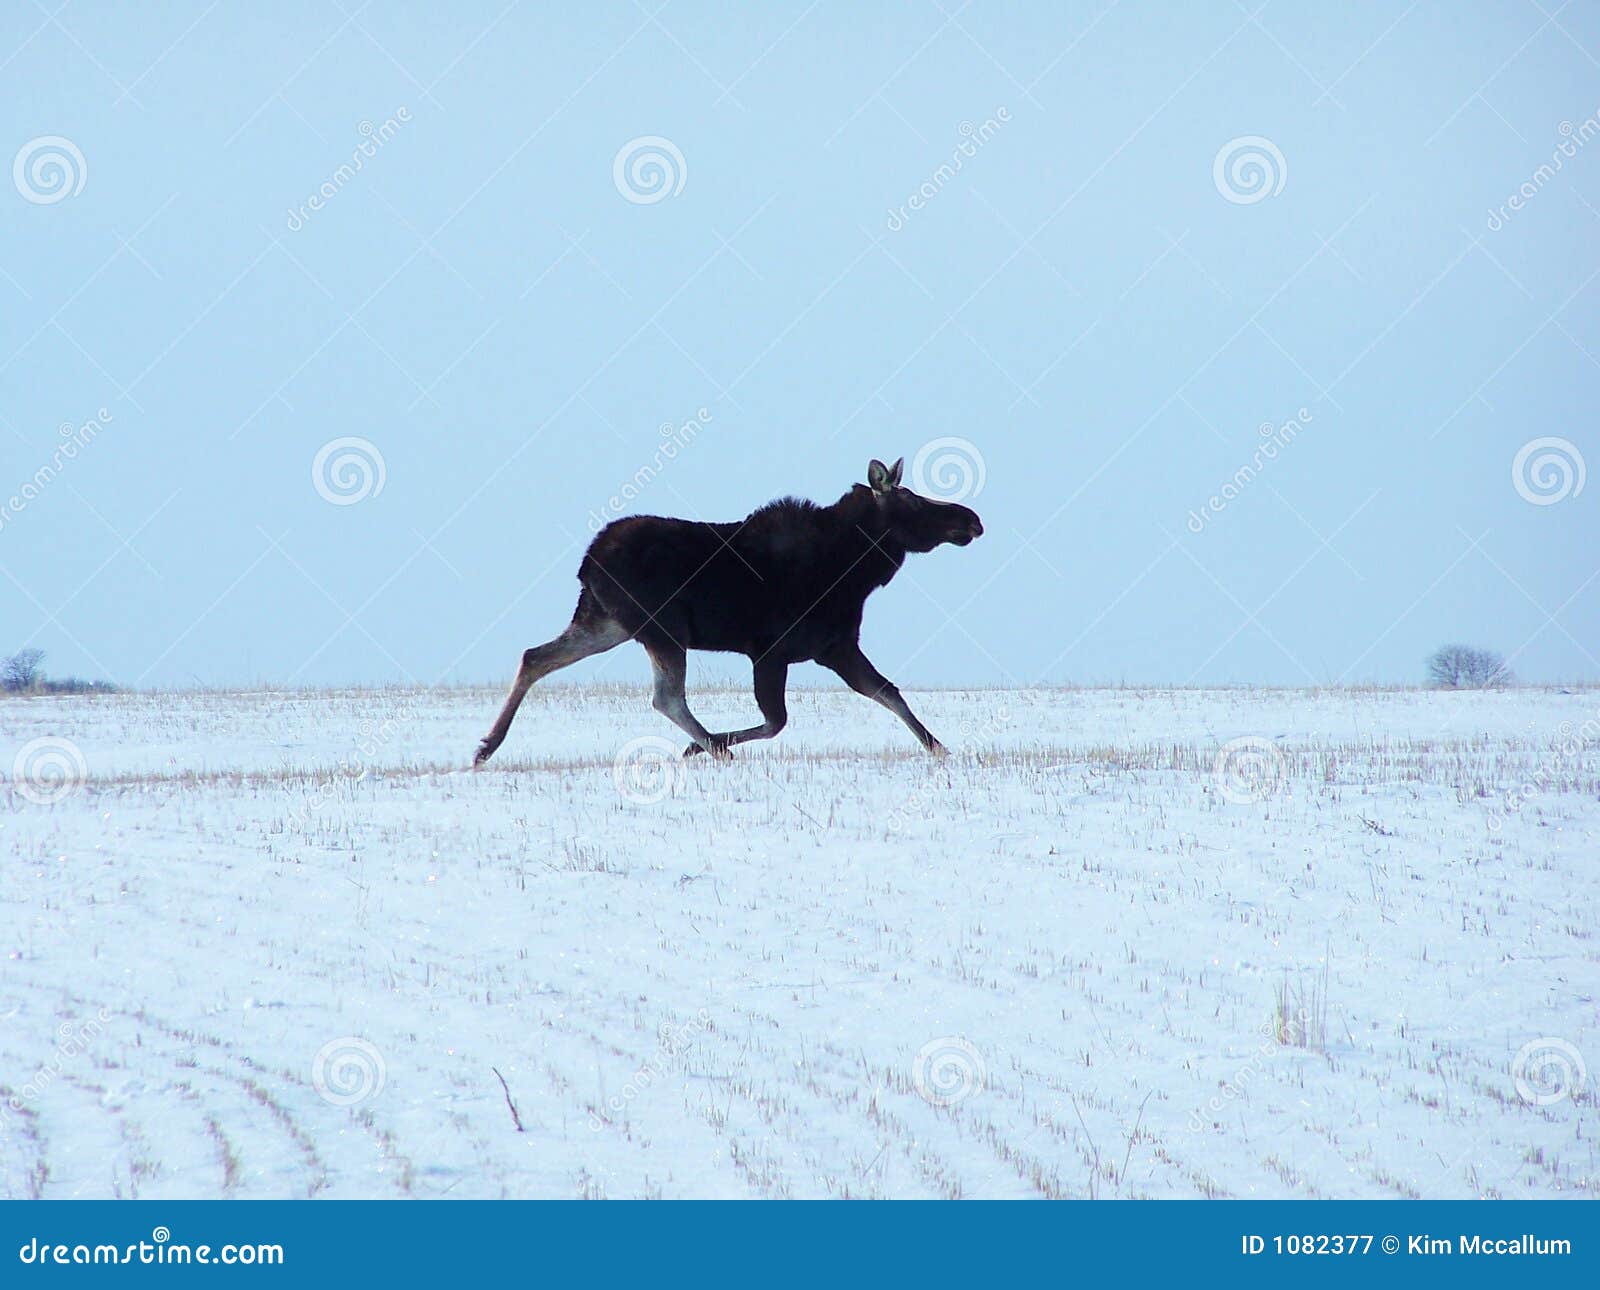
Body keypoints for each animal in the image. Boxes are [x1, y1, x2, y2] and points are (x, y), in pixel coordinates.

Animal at [472, 457, 984, 766]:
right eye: (912, 498)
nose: (972, 519)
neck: (854, 570)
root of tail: (587, 561)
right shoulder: (772, 651)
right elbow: (777, 721)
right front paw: (698, 749)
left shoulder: (834, 647)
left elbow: (888, 692)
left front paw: (939, 748)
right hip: (660, 627)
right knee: (666, 697)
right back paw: (715, 747)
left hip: (608, 622)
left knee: (537, 656)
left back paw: (487, 746)